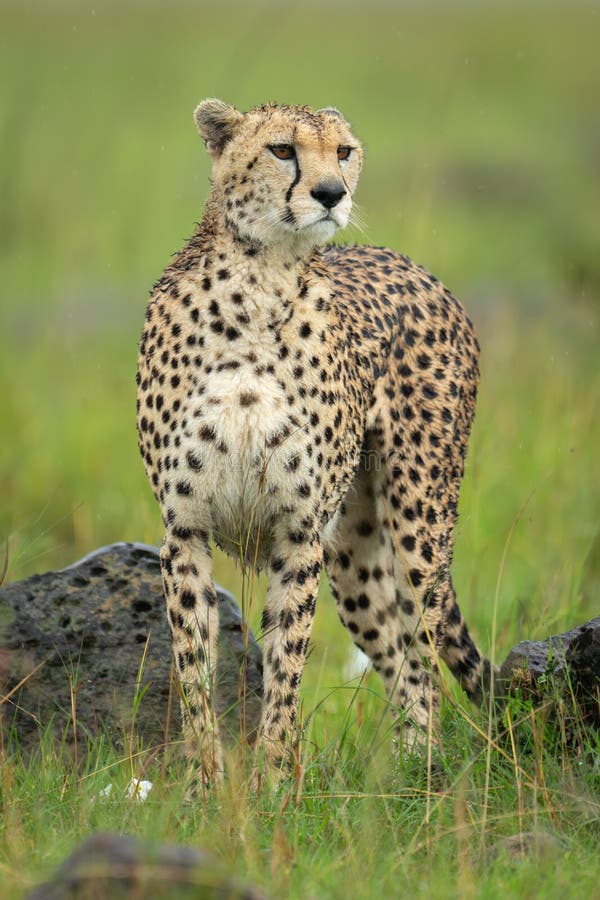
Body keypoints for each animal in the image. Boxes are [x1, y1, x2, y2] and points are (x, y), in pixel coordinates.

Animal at [136, 99, 494, 791]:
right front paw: (204, 786)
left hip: (419, 528)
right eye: (282, 150)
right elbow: (193, 664)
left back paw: (421, 783)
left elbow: (285, 665)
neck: (258, 284)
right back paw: (407, 772)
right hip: (354, 556)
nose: (331, 193)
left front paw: (276, 784)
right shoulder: (185, 528)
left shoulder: (298, 532)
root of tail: (415, 266)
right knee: (400, 655)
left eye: (344, 152)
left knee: (425, 653)